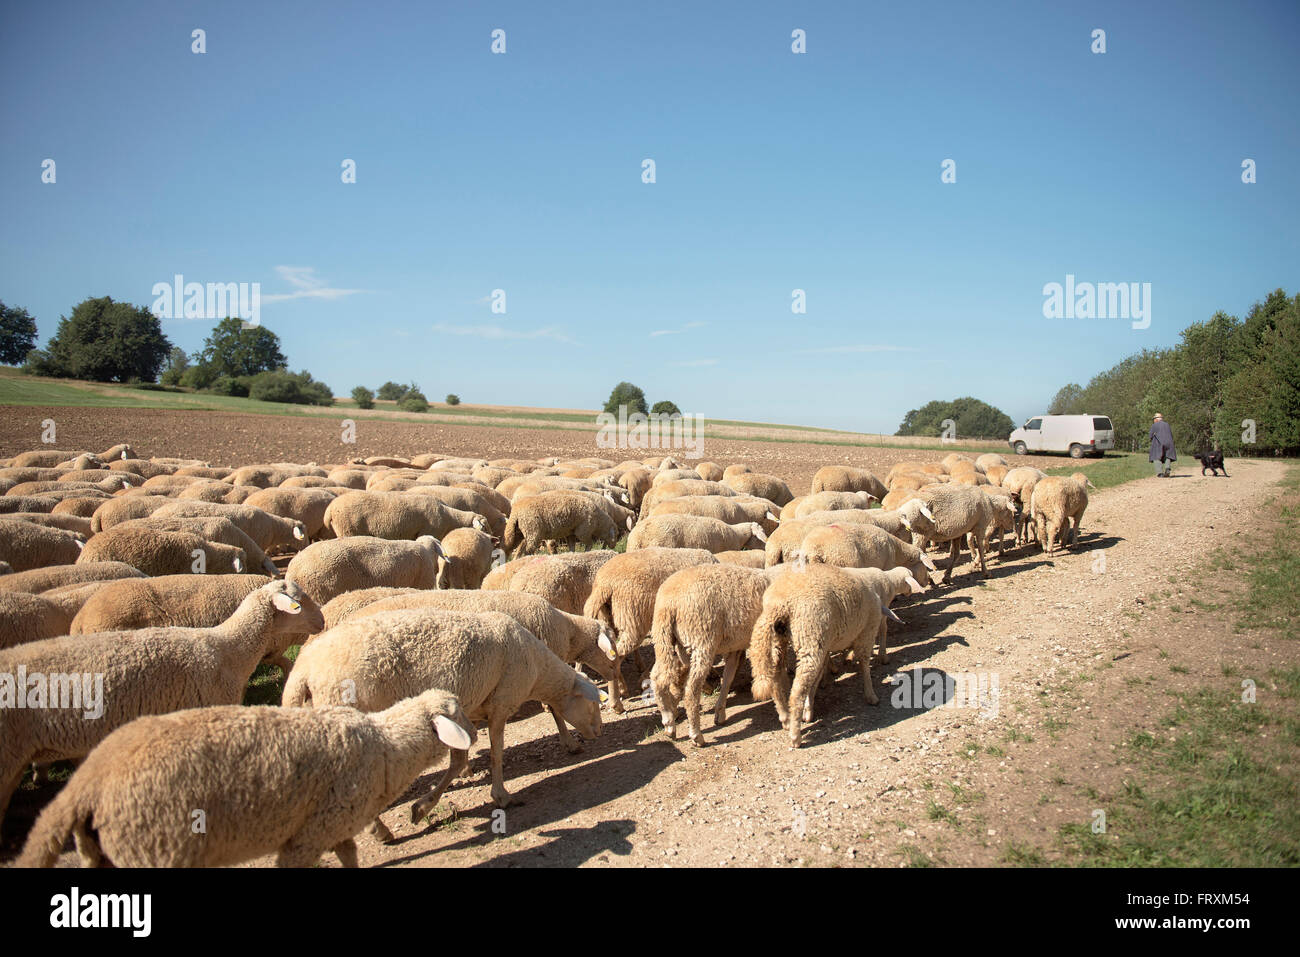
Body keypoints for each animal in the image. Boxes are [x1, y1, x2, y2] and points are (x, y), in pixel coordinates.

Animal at [18, 687, 475, 868]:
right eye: (458, 713)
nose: (473, 738)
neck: (384, 746)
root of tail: (87, 781)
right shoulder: (307, 836)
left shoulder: (333, 825)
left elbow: (350, 855)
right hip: (155, 851)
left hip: (104, 851)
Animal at [284, 609, 602, 812]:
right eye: (591, 703)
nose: (598, 732)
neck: (537, 668)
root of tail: (302, 672)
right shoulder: (500, 705)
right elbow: (496, 754)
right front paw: (501, 796)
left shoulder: (466, 711)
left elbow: (459, 761)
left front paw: (425, 805)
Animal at [583, 547, 719, 713]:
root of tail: (604, 585)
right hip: (633, 620)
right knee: (616, 656)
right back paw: (617, 703)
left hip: (607, 618)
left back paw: (622, 689)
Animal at [649, 564, 784, 745]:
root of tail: (669, 603)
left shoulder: (735, 646)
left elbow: (728, 677)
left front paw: (720, 712)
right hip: (702, 639)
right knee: (691, 690)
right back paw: (696, 735)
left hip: (664, 639)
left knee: (658, 677)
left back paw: (669, 723)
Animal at [748, 564, 919, 746]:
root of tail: (780, 603)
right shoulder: (867, 632)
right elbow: (864, 664)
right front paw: (871, 695)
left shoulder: (825, 646)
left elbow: (816, 679)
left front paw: (809, 708)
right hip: (810, 636)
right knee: (796, 693)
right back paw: (795, 736)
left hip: (781, 640)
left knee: (775, 679)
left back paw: (785, 718)